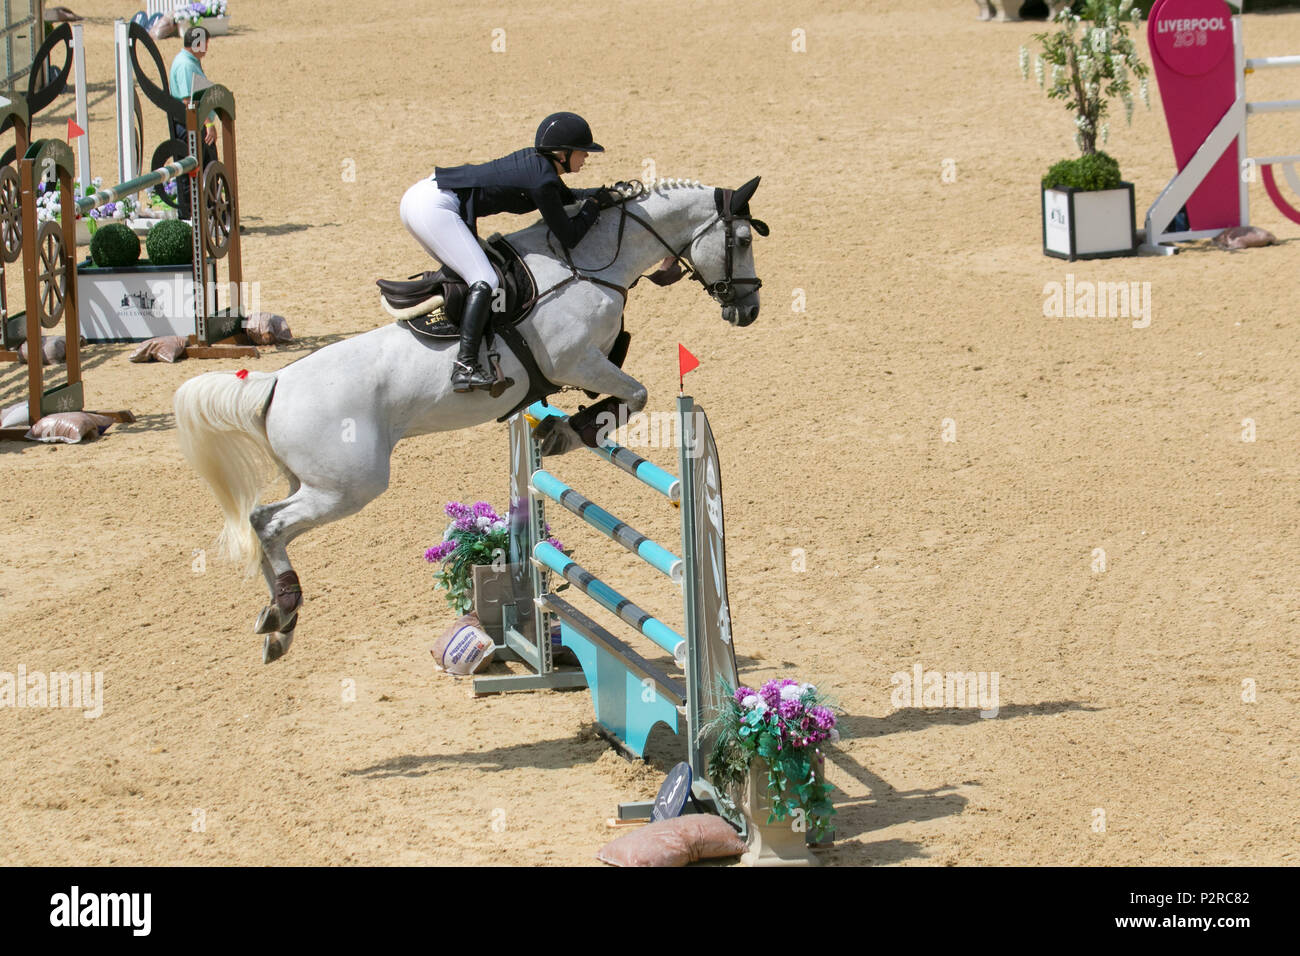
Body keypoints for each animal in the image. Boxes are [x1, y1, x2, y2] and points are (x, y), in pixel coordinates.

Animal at [174, 176, 766, 663]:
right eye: (741, 240)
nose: (749, 311)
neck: (587, 266)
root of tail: (275, 385)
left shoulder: (589, 361)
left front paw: (559, 428)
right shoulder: (576, 360)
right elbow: (635, 396)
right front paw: (567, 432)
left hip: (315, 481)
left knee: (262, 521)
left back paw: (280, 623)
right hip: (347, 487)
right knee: (270, 524)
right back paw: (285, 611)